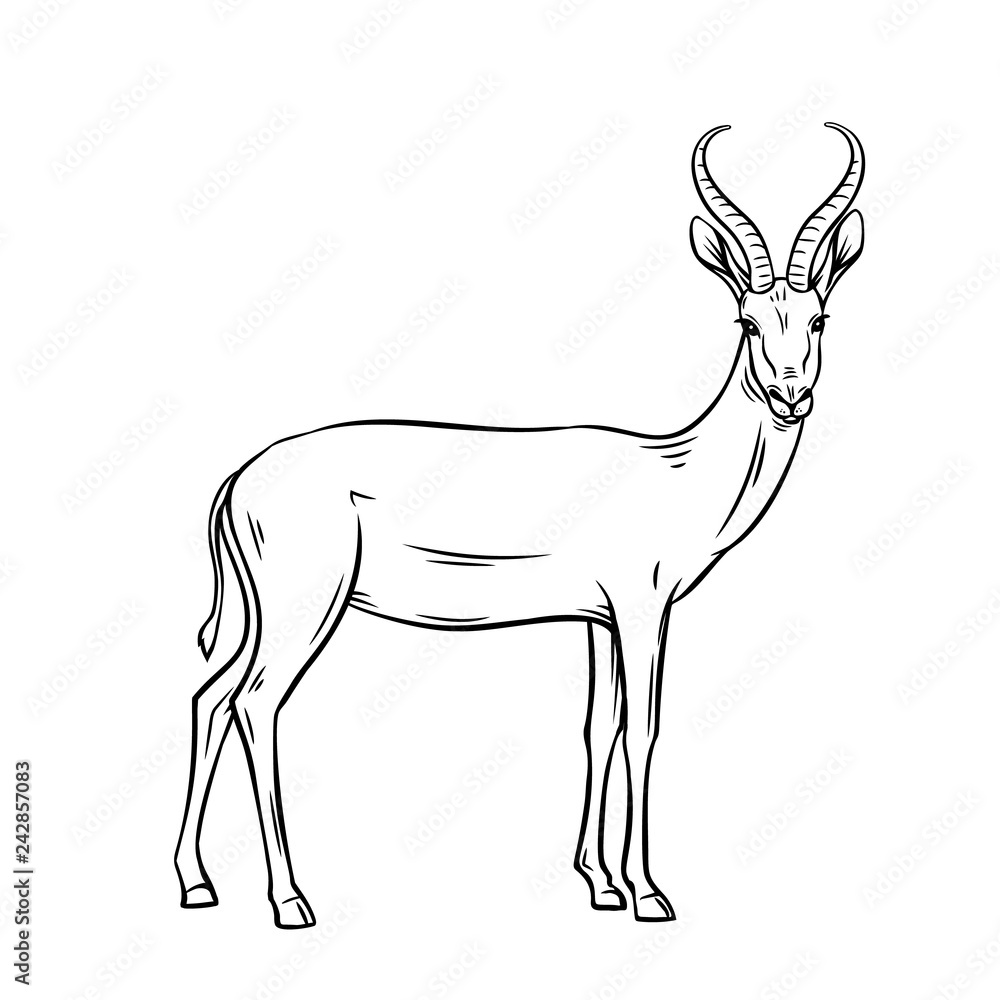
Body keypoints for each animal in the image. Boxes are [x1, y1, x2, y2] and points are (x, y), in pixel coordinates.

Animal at [175, 123, 865, 927]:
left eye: (818, 317)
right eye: (748, 320)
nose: (791, 397)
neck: (678, 467)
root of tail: (237, 480)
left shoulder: (597, 620)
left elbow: (599, 728)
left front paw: (599, 882)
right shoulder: (643, 608)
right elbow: (644, 731)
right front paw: (649, 893)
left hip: (256, 614)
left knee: (209, 696)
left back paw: (195, 883)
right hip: (305, 609)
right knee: (254, 704)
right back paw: (290, 899)